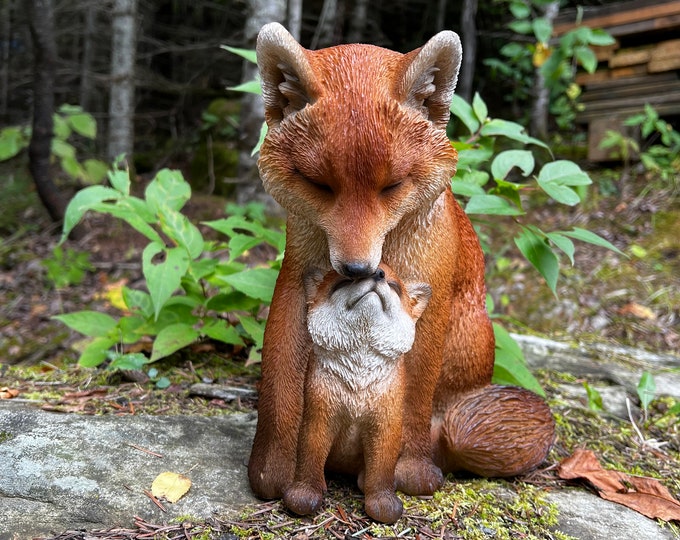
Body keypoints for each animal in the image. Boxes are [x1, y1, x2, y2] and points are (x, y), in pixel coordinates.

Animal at [284, 264, 431, 524]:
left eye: (394, 286)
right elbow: (310, 457)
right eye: (344, 282)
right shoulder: (319, 415)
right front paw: (303, 496)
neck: (358, 384)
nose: (376, 274)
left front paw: (383, 503)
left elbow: (382, 468)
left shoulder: (386, 423)